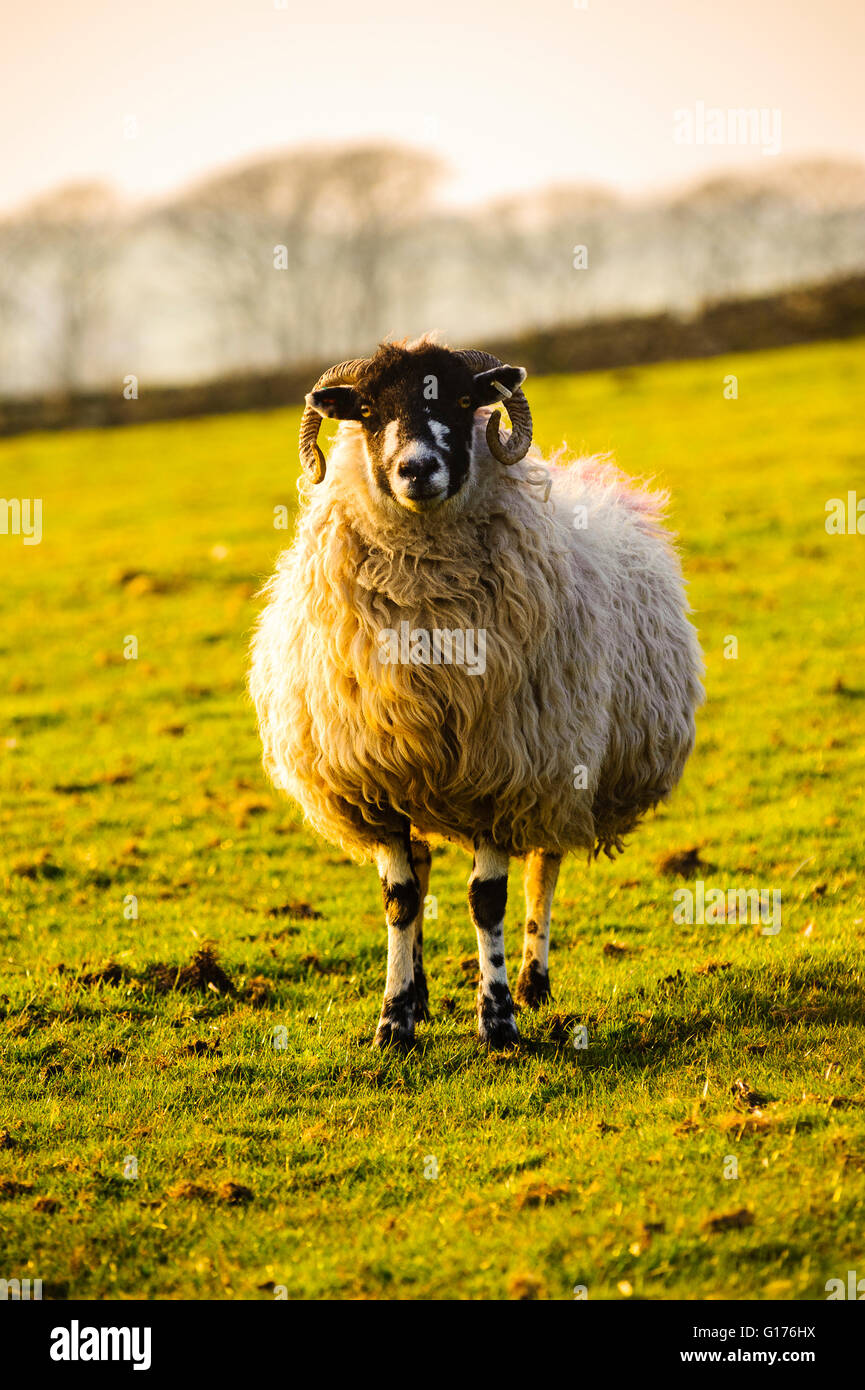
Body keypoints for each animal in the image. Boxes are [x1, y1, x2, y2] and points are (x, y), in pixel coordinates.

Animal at [249, 338, 704, 1049]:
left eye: (465, 400)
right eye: (369, 411)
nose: (416, 468)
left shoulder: (506, 769)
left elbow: (487, 899)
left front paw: (498, 1021)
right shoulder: (379, 779)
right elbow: (401, 898)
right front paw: (395, 1020)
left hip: (561, 766)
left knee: (543, 867)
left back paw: (533, 982)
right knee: (422, 868)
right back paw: (423, 993)